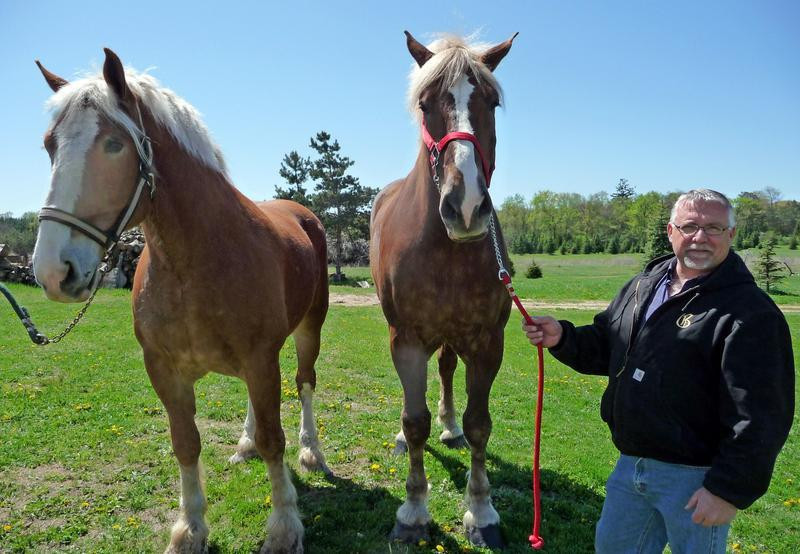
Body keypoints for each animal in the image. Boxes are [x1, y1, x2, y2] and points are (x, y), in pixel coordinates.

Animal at [32, 49, 329, 554]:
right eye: (50, 145)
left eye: (114, 145)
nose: (54, 271)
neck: (197, 258)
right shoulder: (165, 369)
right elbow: (186, 443)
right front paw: (190, 528)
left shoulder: (260, 358)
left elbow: (275, 440)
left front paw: (285, 527)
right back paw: (245, 443)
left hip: (309, 328)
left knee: (304, 383)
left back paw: (311, 451)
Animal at [369, 32, 517, 548]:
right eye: (425, 103)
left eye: (491, 102)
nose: (466, 205)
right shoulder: (406, 340)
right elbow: (415, 424)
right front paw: (413, 510)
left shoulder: (487, 342)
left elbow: (479, 425)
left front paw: (482, 510)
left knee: (449, 370)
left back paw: (449, 426)